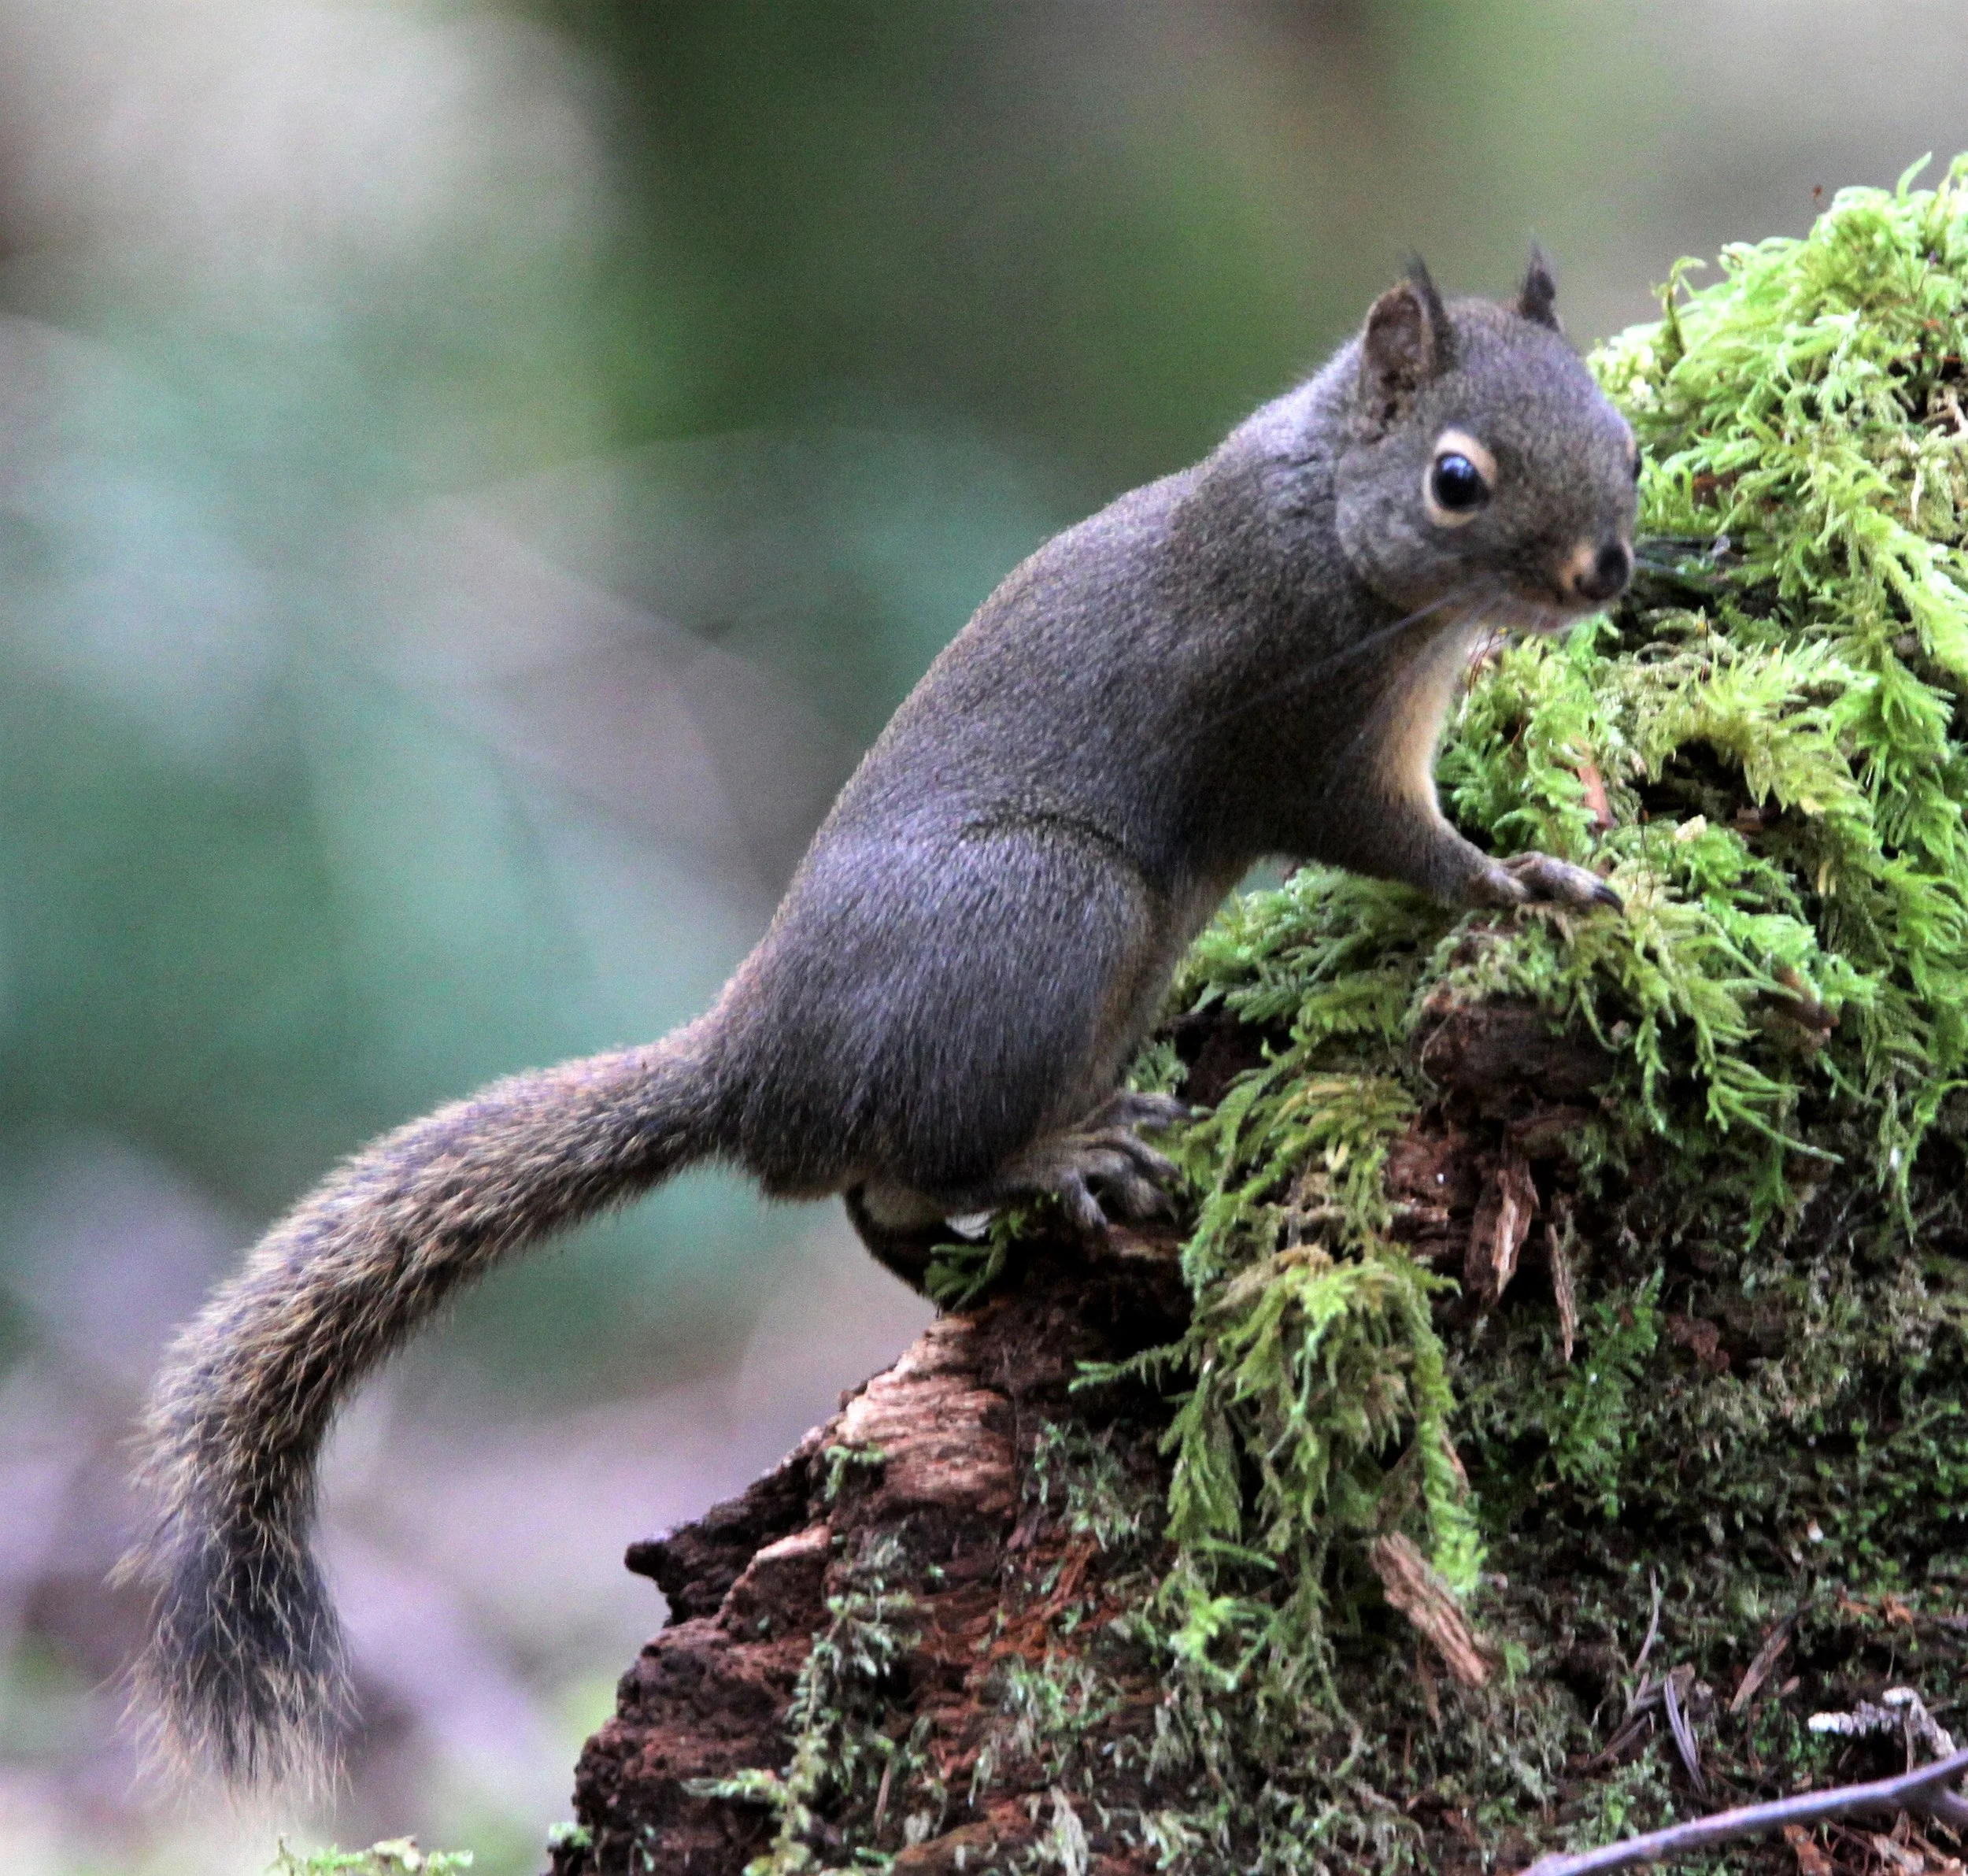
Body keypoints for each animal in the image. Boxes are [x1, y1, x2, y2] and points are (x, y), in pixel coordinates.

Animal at [122, 252, 1638, 1788]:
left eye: (1624, 437)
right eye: (1458, 479)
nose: (1607, 571)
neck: (1328, 505)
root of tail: (755, 1064)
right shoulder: (1309, 712)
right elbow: (1397, 839)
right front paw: (1523, 877)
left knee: (873, 1198)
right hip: (1063, 915)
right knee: (915, 1167)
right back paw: (1062, 1156)